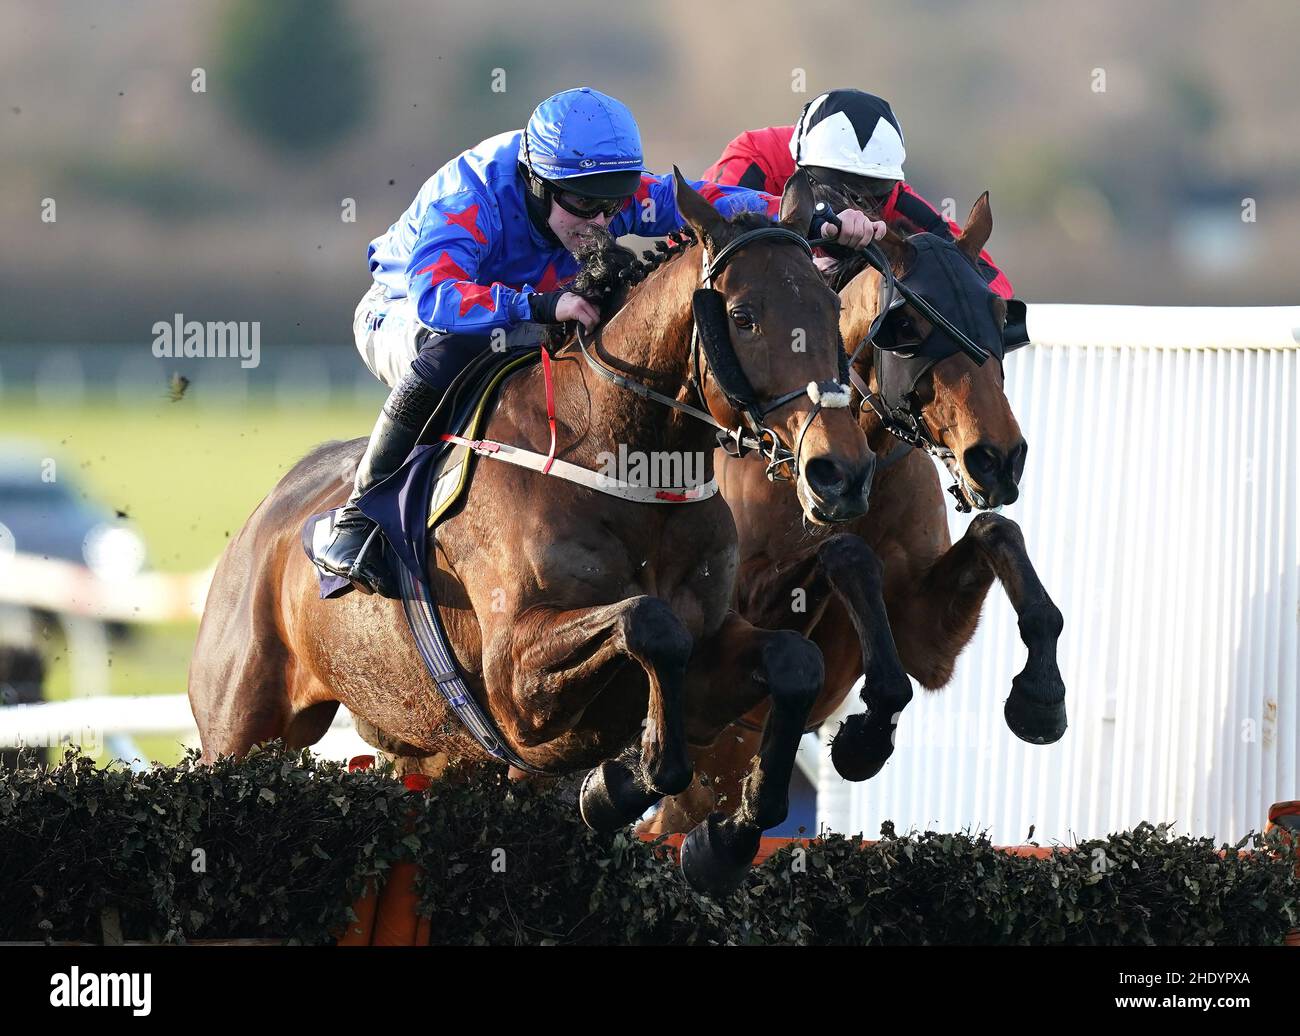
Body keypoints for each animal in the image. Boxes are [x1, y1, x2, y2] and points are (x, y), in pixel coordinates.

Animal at [188, 170, 877, 894]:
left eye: (831, 311)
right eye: (743, 316)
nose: (840, 473)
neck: (628, 471)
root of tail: (262, 521)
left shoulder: (711, 646)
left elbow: (792, 662)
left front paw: (722, 836)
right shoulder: (517, 687)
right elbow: (648, 622)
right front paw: (626, 782)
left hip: (437, 752)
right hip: (240, 730)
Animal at [642, 192, 1068, 836]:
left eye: (1000, 313)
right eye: (907, 326)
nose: (996, 458)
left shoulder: (925, 636)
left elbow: (997, 530)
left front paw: (1041, 695)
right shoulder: (743, 612)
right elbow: (845, 551)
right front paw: (867, 734)